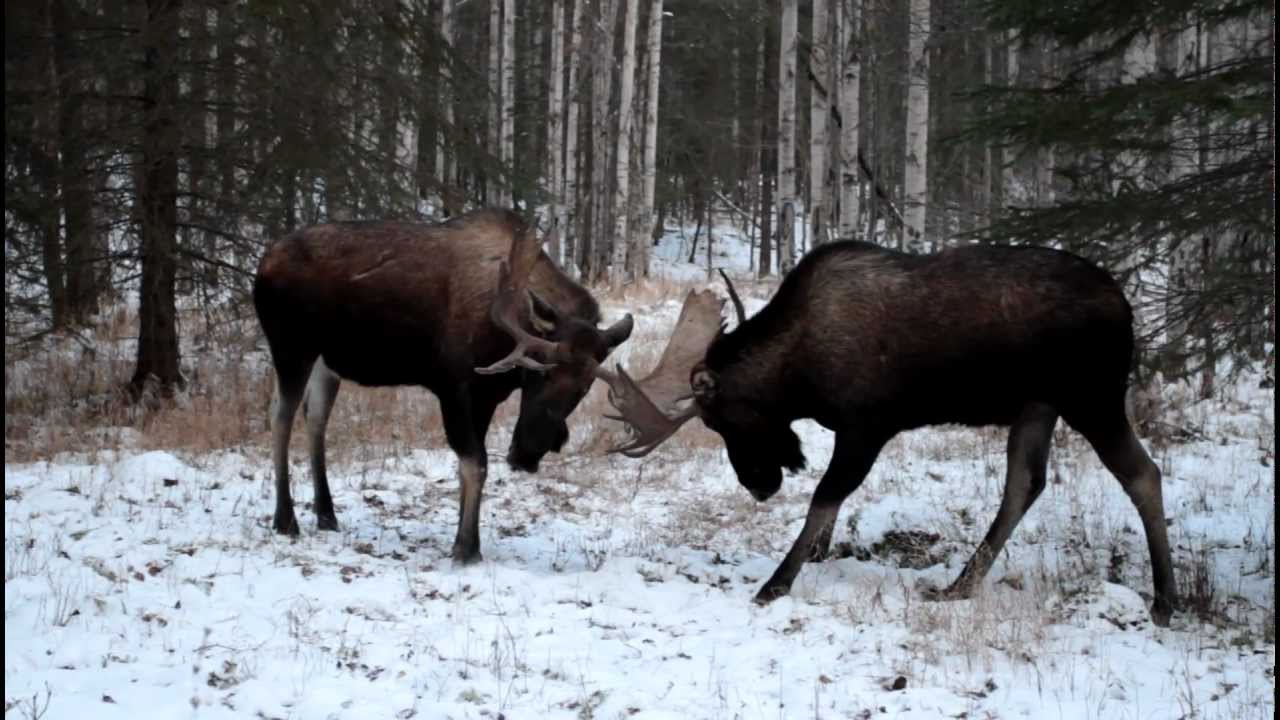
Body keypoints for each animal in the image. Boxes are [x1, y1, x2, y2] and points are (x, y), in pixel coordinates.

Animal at [252, 208, 633, 563]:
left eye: (584, 387)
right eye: (539, 370)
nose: (528, 453)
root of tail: (263, 263)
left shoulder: (485, 398)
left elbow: (472, 466)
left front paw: (464, 539)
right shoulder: (453, 389)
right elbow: (475, 464)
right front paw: (466, 547)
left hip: (326, 361)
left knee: (315, 418)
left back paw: (326, 513)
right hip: (292, 347)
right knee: (280, 418)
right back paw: (286, 520)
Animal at [597, 241, 1177, 626]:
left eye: (721, 421)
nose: (759, 485)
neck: (798, 376)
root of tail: (1127, 308)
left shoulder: (868, 425)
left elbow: (825, 497)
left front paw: (776, 583)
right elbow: (829, 506)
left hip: (1091, 397)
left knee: (1142, 474)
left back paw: (1165, 600)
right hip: (1038, 405)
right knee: (1025, 484)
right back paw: (959, 585)